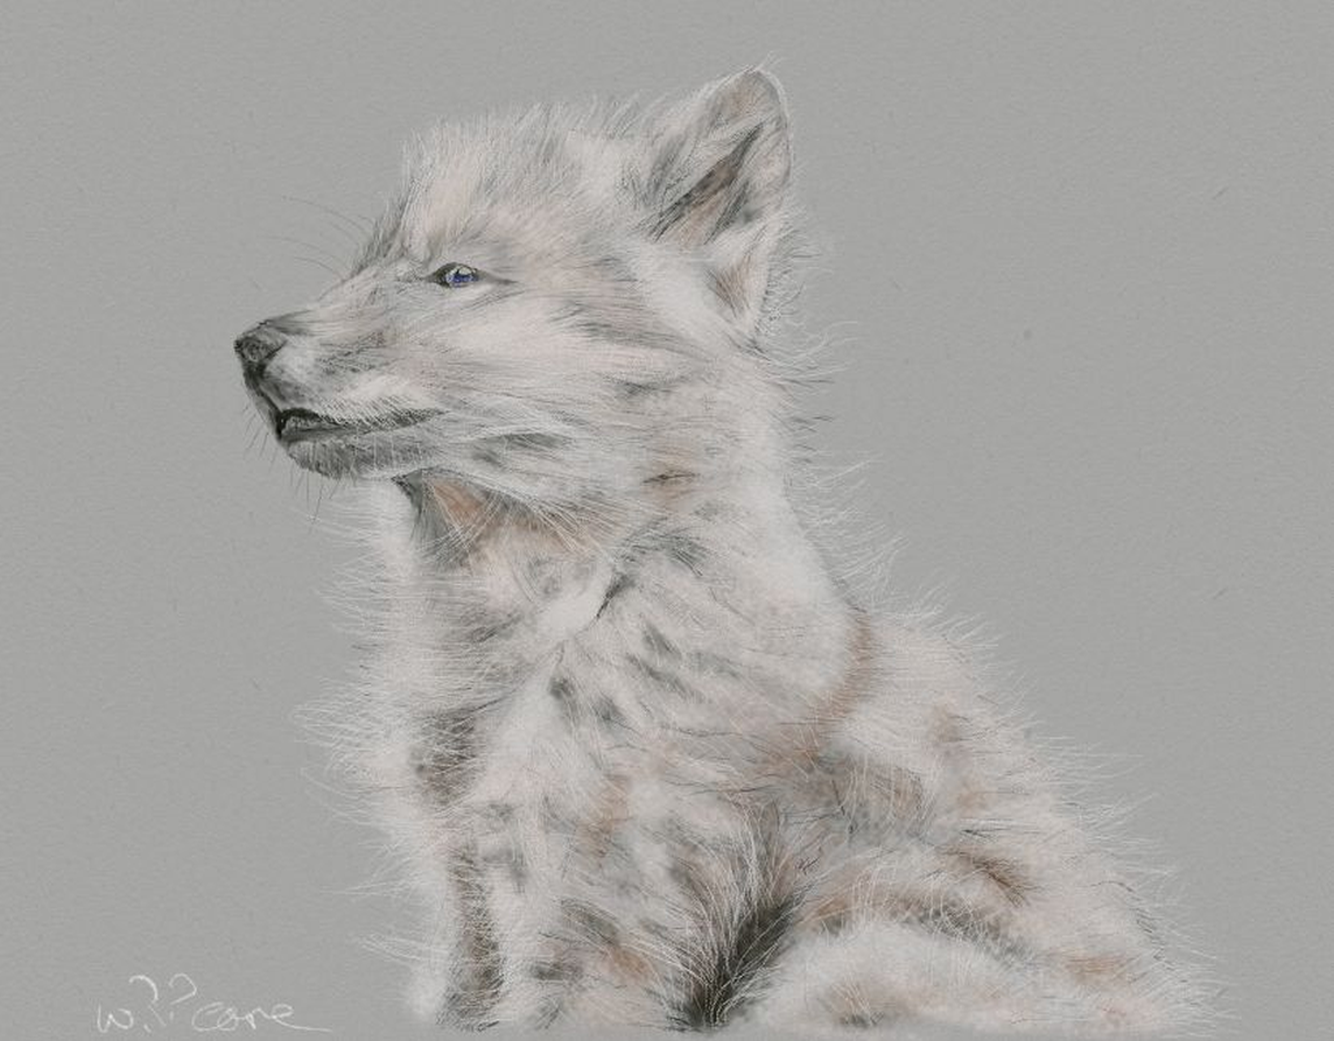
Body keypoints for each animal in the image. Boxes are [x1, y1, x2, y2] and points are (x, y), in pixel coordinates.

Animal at [235, 69, 1208, 1035]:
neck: (563, 612)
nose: (249, 346)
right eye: (363, 267)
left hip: (847, 957)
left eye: (455, 275)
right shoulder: (474, 920)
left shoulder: (589, 939)